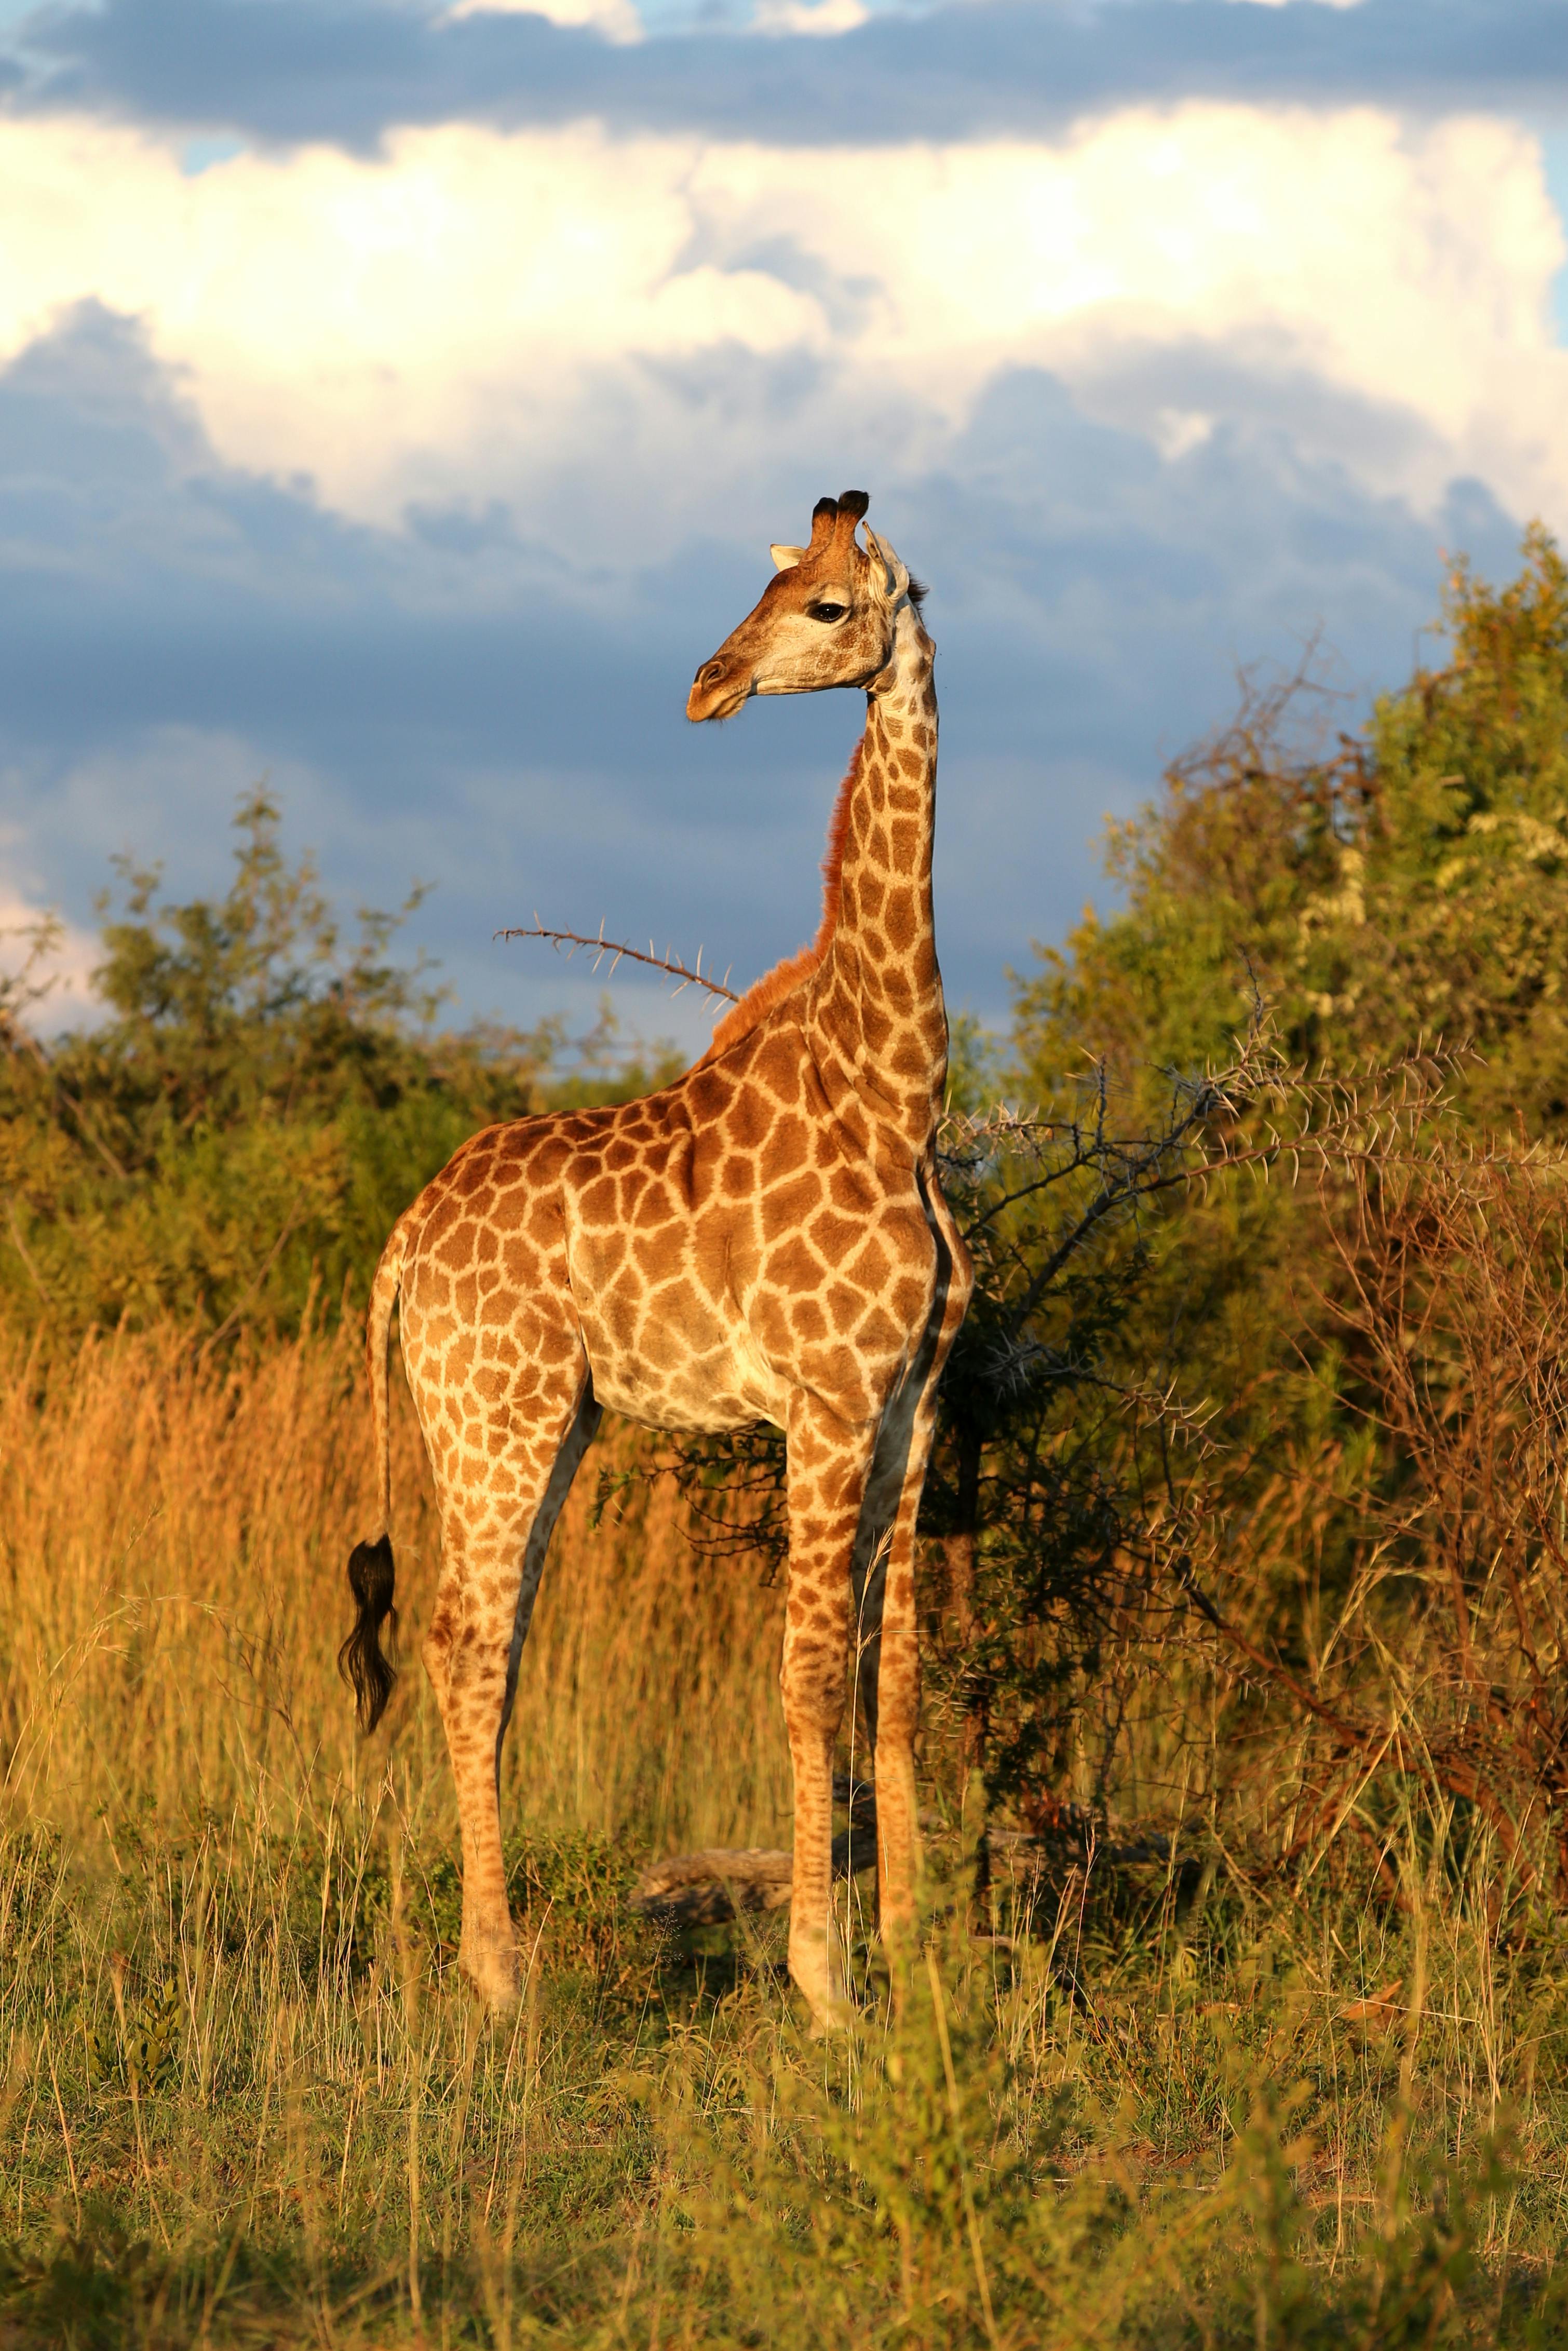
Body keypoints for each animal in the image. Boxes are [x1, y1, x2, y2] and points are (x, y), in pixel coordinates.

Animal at [339, 490, 973, 2030]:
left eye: (824, 606)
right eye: (771, 590)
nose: (707, 684)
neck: (897, 1092)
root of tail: (402, 1245)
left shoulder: (914, 1401)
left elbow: (895, 1678)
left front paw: (918, 1959)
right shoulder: (824, 1399)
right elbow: (808, 1675)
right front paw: (826, 1983)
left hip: (541, 1419)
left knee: (491, 1641)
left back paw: (493, 1955)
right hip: (497, 1415)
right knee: (462, 1635)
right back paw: (501, 1974)